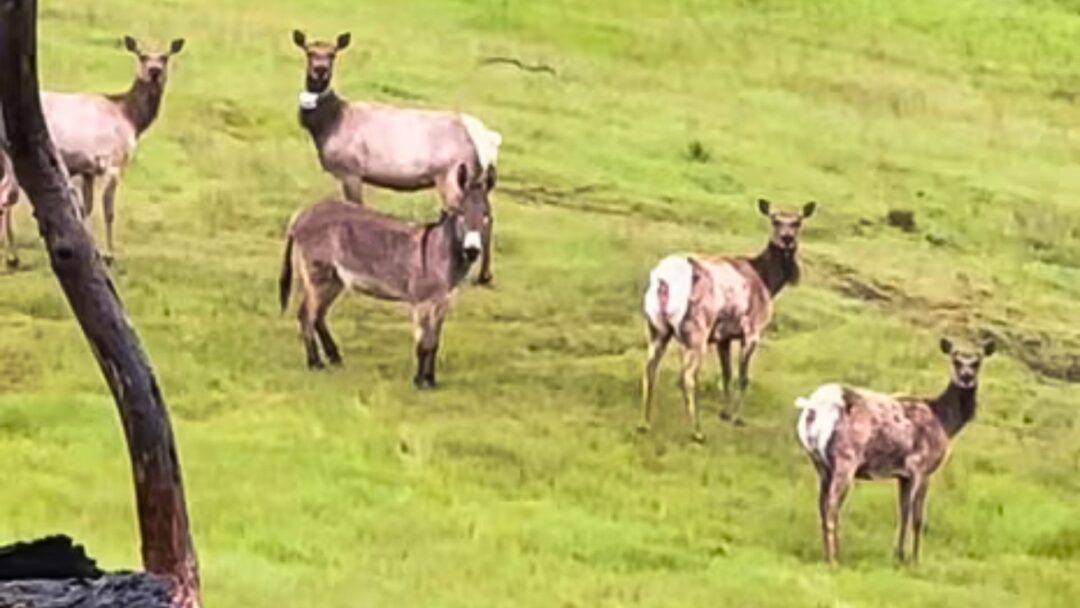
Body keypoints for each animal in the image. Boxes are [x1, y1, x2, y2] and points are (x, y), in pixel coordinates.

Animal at [41, 35, 184, 262]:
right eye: (142, 56)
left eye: (164, 57)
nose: (154, 71)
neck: (131, 119)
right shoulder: (114, 163)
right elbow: (108, 210)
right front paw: (109, 253)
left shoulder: (88, 169)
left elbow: (88, 208)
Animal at [279, 162, 494, 387]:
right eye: (460, 213)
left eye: (486, 215)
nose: (472, 251)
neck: (441, 252)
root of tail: (301, 216)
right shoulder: (423, 303)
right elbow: (423, 343)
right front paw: (419, 382)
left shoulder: (443, 303)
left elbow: (434, 343)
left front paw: (431, 380)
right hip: (318, 277)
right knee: (306, 315)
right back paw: (315, 364)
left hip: (334, 280)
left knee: (318, 315)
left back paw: (334, 357)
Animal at [291, 30, 502, 285]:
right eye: (309, 52)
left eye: (332, 54)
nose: (320, 69)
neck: (329, 124)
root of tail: (489, 142)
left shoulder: (352, 170)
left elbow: (356, 206)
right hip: (474, 178)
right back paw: (485, 274)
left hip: (452, 175)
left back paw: (480, 273)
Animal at [638, 199, 816, 441]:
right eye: (775, 220)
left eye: (797, 222)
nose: (787, 239)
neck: (769, 282)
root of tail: (663, 281)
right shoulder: (752, 331)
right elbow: (743, 377)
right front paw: (737, 418)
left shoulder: (724, 337)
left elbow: (726, 374)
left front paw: (725, 413)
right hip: (697, 331)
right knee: (688, 376)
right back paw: (696, 431)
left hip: (657, 327)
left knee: (649, 369)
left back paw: (644, 423)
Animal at [795, 338, 996, 565]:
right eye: (955, 360)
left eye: (977, 361)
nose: (966, 377)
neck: (945, 422)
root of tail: (813, 406)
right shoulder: (921, 467)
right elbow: (917, 518)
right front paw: (915, 560)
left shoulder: (903, 475)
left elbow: (904, 513)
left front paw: (899, 556)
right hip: (846, 458)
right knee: (831, 507)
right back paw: (833, 560)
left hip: (819, 463)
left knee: (821, 506)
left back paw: (830, 554)